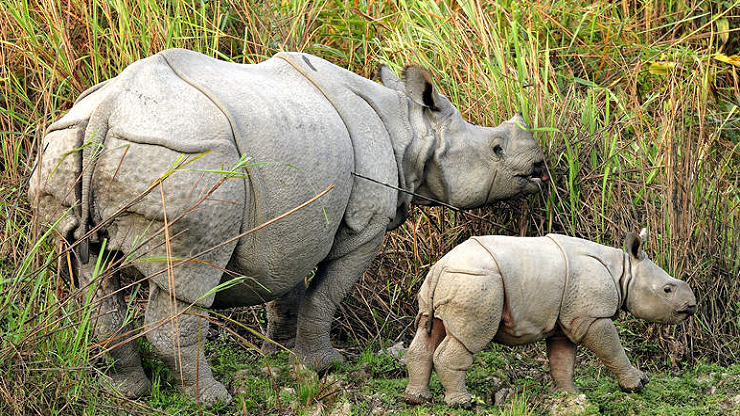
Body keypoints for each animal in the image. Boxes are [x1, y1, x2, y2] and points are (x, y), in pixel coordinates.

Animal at [29, 49, 548, 405]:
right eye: (497, 149)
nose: (541, 167)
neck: (410, 130)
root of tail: (108, 111)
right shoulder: (366, 226)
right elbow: (326, 294)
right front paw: (324, 366)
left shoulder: (300, 215)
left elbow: (289, 285)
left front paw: (277, 355)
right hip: (187, 160)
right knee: (190, 275)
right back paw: (213, 399)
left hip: (70, 143)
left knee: (89, 266)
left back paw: (127, 391)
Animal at [404, 230, 697, 408]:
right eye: (667, 289)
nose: (691, 305)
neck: (623, 272)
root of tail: (441, 266)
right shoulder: (591, 316)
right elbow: (612, 348)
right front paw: (638, 383)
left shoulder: (567, 319)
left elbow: (562, 359)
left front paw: (569, 395)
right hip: (478, 281)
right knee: (467, 338)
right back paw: (463, 403)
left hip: (451, 279)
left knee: (431, 330)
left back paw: (417, 399)